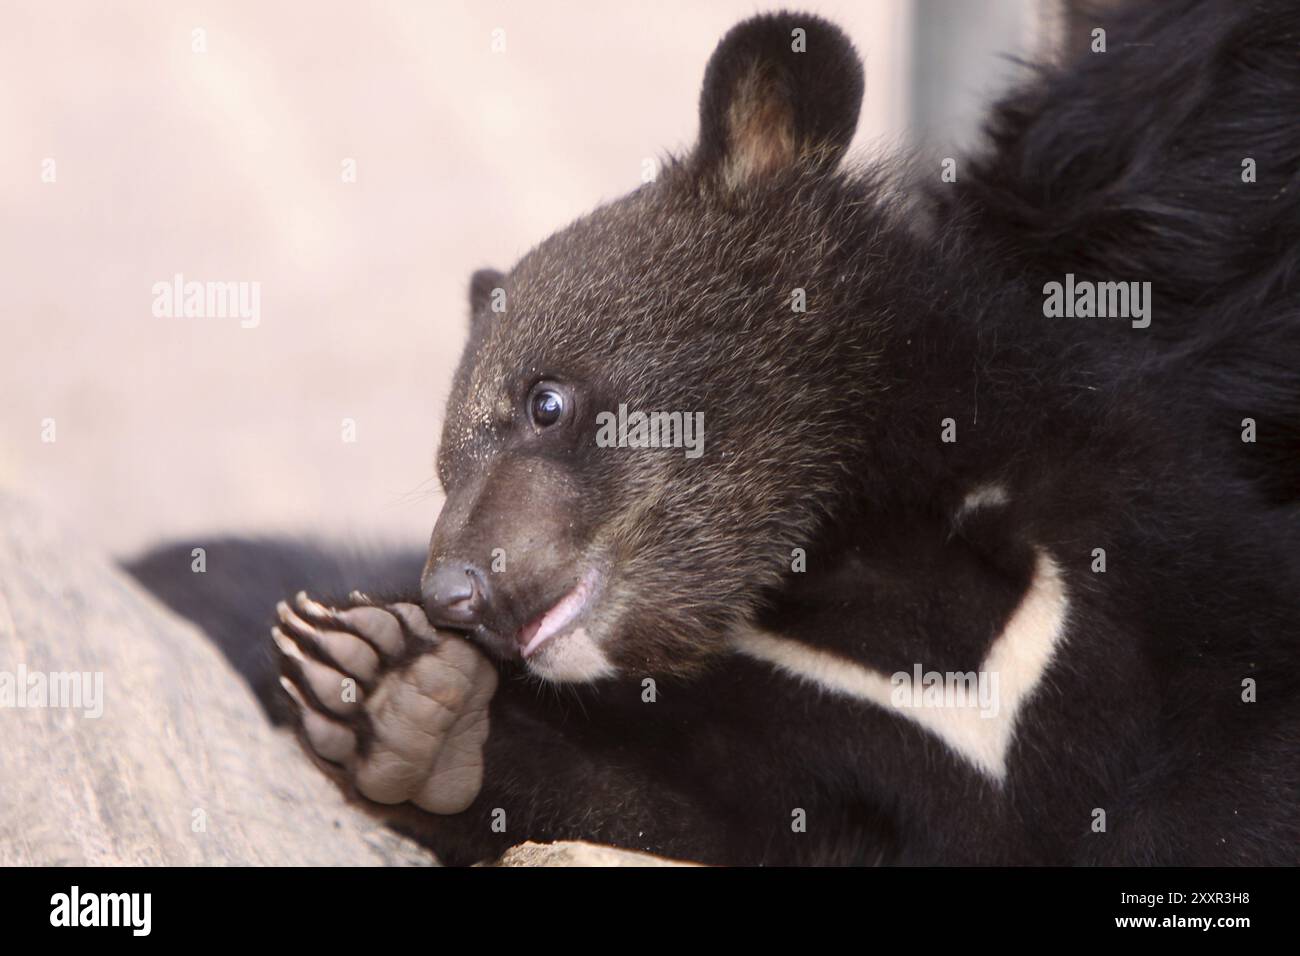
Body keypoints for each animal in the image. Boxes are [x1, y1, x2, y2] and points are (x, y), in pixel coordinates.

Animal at [134, 2, 1300, 865]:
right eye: (439, 464)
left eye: (545, 401)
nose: (453, 591)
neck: (850, 554)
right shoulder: (808, 719)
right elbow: (703, 814)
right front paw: (389, 695)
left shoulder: (1144, 542)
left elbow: (1232, 778)